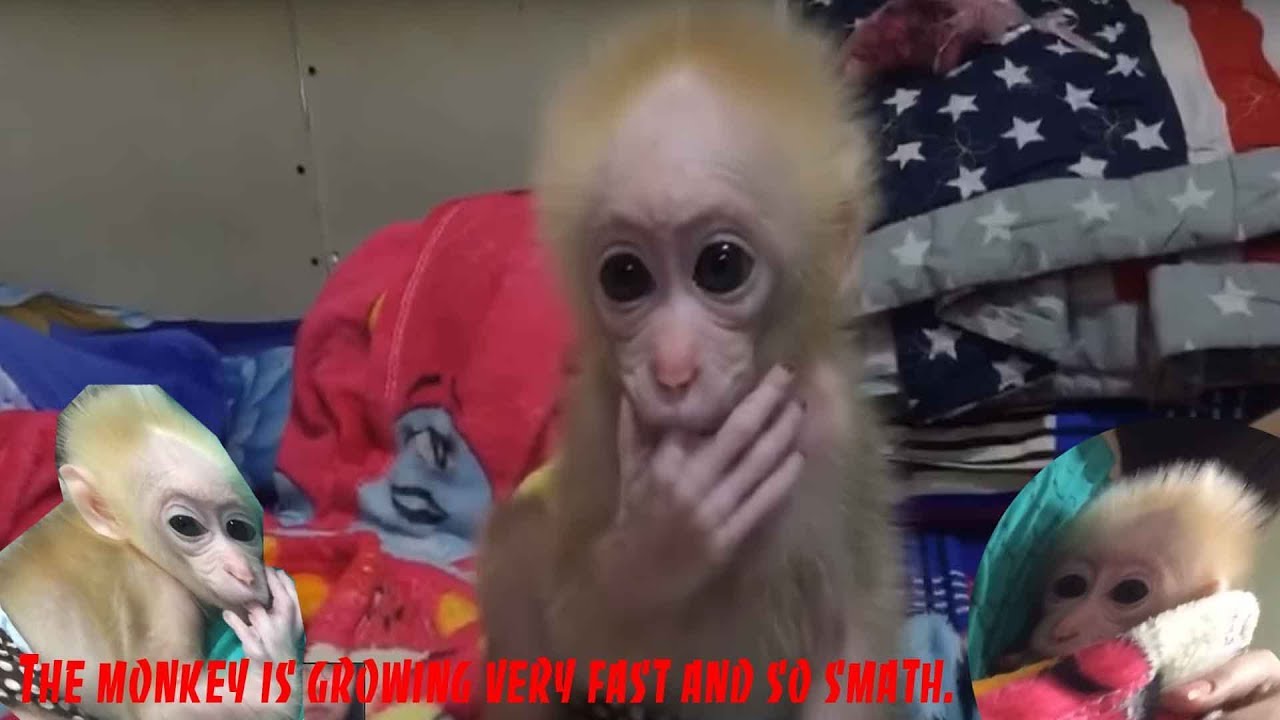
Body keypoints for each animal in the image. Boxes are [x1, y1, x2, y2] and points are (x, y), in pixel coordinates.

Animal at [0, 385, 303, 720]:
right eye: (185, 524)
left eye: (240, 529)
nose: (242, 571)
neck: (135, 548)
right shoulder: (162, 596)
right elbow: (159, 704)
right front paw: (273, 662)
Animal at [477, 7, 900, 720]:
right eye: (625, 277)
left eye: (720, 267)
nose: (673, 369)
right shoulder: (597, 423)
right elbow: (581, 634)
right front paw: (663, 540)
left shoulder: (838, 431)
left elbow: (852, 637)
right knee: (516, 552)